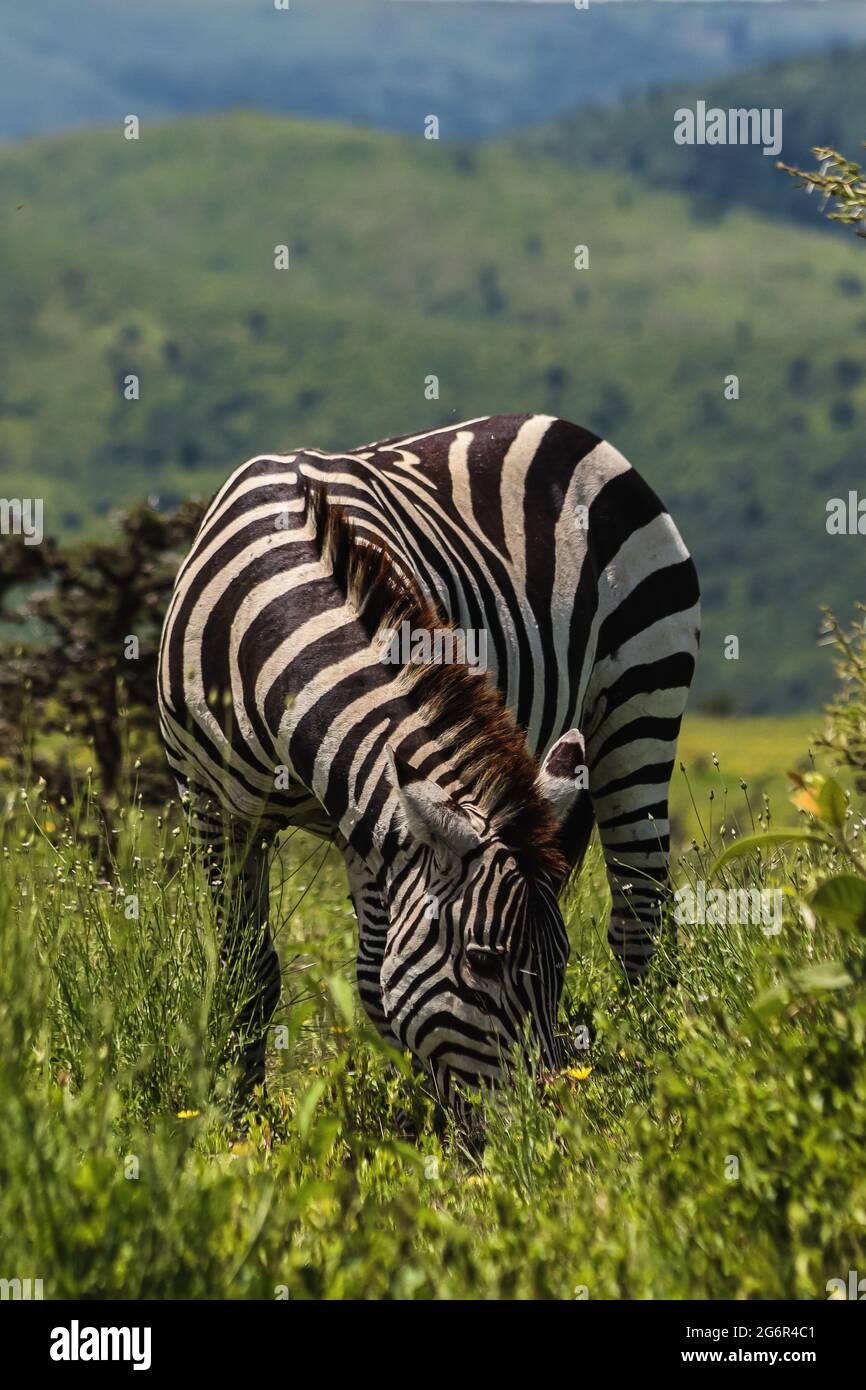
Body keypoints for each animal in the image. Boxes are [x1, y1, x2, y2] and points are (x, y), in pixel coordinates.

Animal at [157, 413, 699, 1106]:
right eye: (483, 960)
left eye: (559, 962)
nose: (539, 1114)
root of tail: (560, 425)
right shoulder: (210, 808)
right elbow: (248, 971)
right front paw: (237, 1114)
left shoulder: (364, 820)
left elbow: (376, 979)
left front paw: (431, 1120)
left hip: (644, 698)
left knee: (642, 913)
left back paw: (649, 1060)